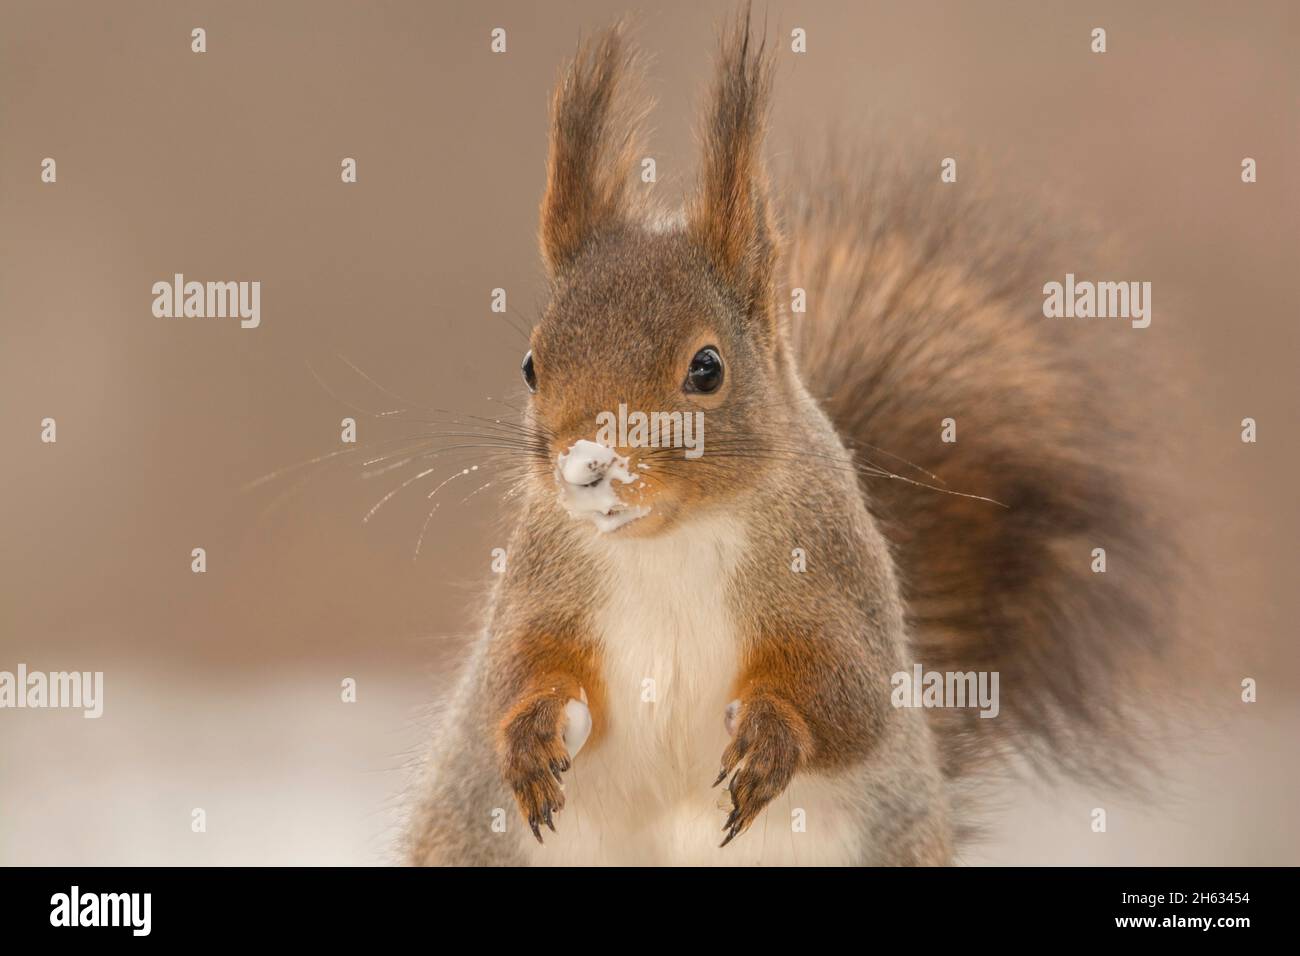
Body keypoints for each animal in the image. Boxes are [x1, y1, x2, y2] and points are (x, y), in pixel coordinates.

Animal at [406, 9, 1172, 866]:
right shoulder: (541, 578)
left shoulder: (836, 578)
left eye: (707, 368)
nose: (586, 467)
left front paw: (770, 736)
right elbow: (512, 672)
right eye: (532, 365)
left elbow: (852, 695)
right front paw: (533, 736)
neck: (666, 542)